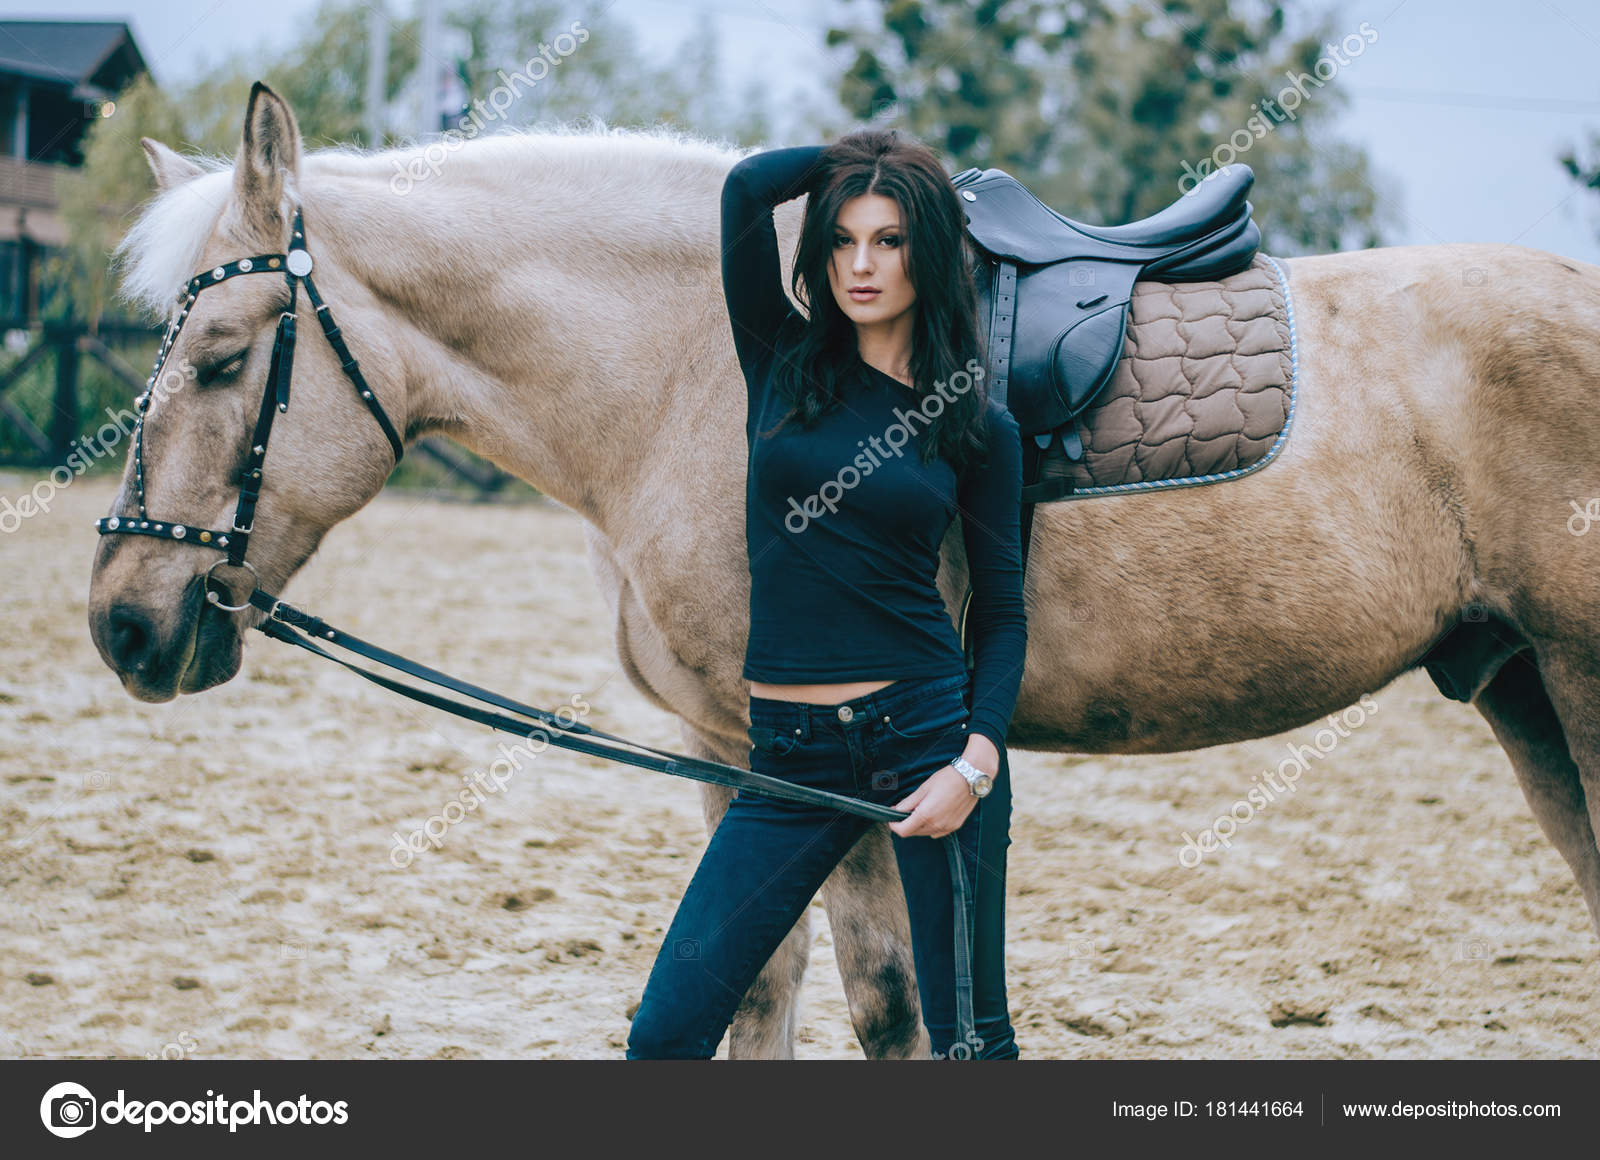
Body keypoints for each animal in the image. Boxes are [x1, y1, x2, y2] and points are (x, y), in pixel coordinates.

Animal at [88, 83, 1600, 1058]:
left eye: (220, 358)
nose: (122, 624)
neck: (693, 366)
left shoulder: (845, 773)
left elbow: (886, 1007)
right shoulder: (734, 754)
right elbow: (752, 992)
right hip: (1520, 687)